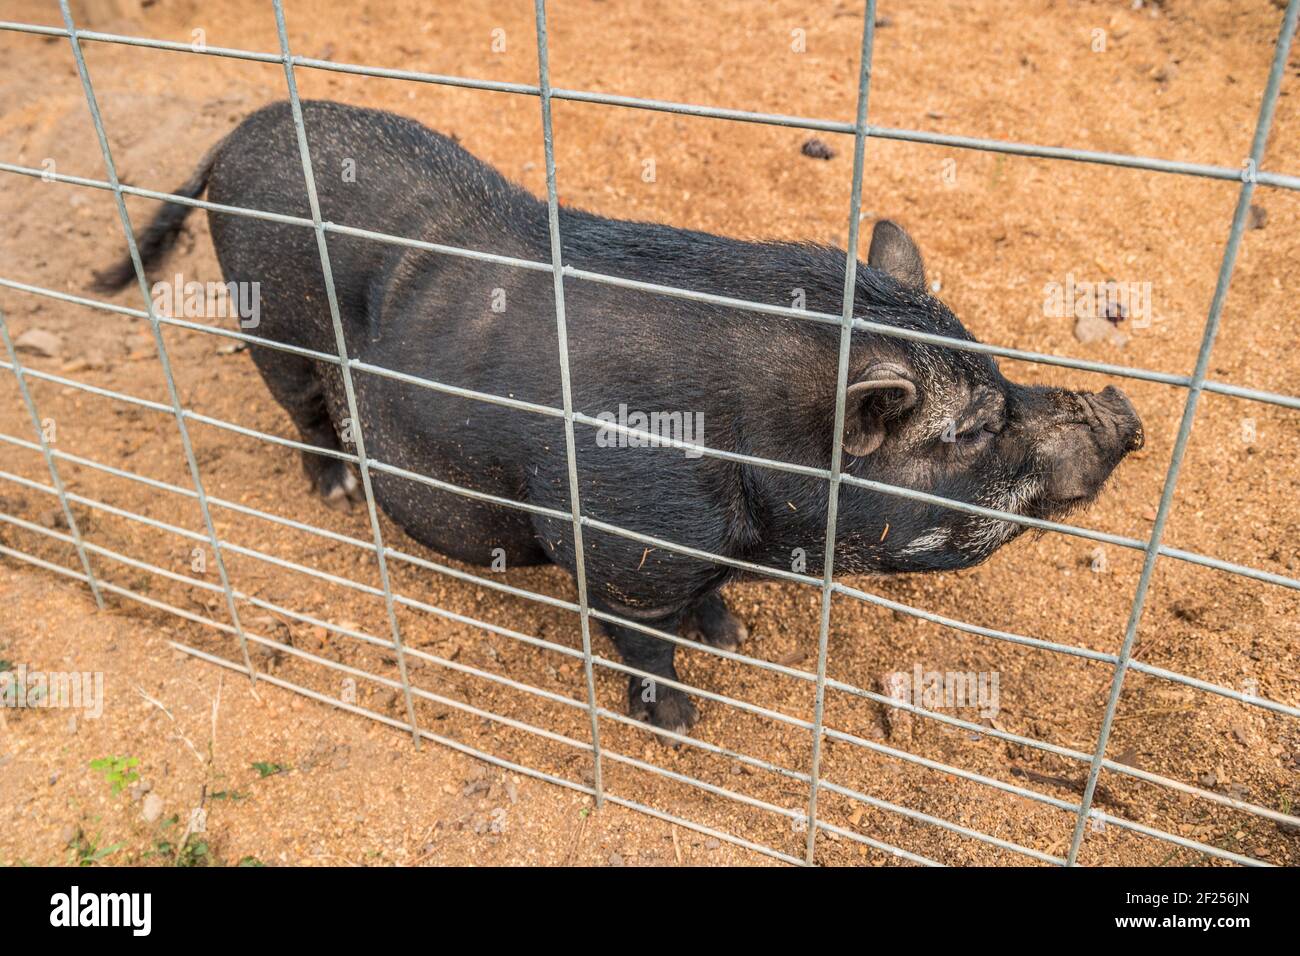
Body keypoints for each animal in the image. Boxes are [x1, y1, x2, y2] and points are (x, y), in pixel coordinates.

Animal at [94, 100, 1144, 734]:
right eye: (969, 432)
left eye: (1000, 380)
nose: (1123, 409)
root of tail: (240, 133)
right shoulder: (614, 547)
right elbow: (643, 635)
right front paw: (678, 722)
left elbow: (703, 607)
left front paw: (732, 637)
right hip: (266, 316)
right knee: (305, 410)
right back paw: (336, 492)